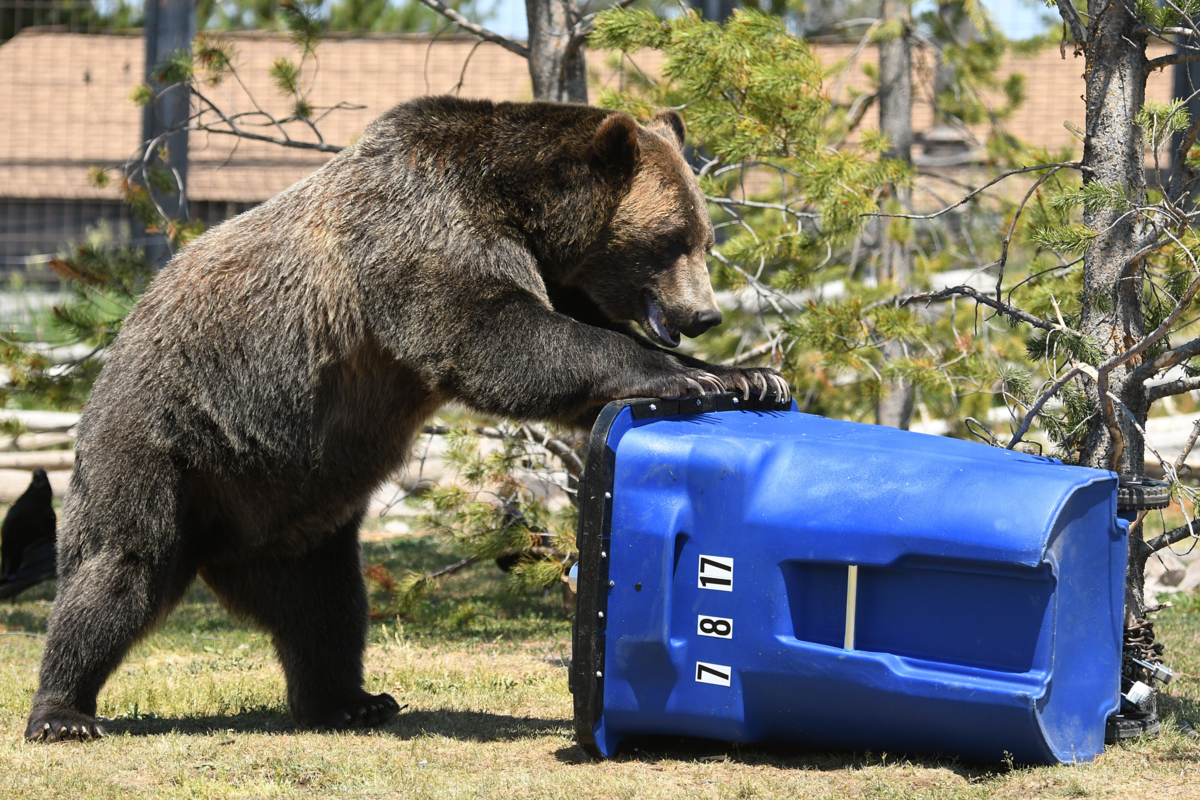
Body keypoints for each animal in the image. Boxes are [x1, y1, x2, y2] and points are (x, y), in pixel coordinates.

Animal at [25, 97, 787, 743]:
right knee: (119, 566)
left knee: (326, 606)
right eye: (673, 238)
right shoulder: (421, 235)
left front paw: (749, 375)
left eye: (706, 239)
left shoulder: (538, 268)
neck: (522, 211)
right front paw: (687, 374)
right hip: (165, 440)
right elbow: (498, 338)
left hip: (293, 509)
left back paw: (348, 700)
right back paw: (64, 710)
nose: (704, 314)